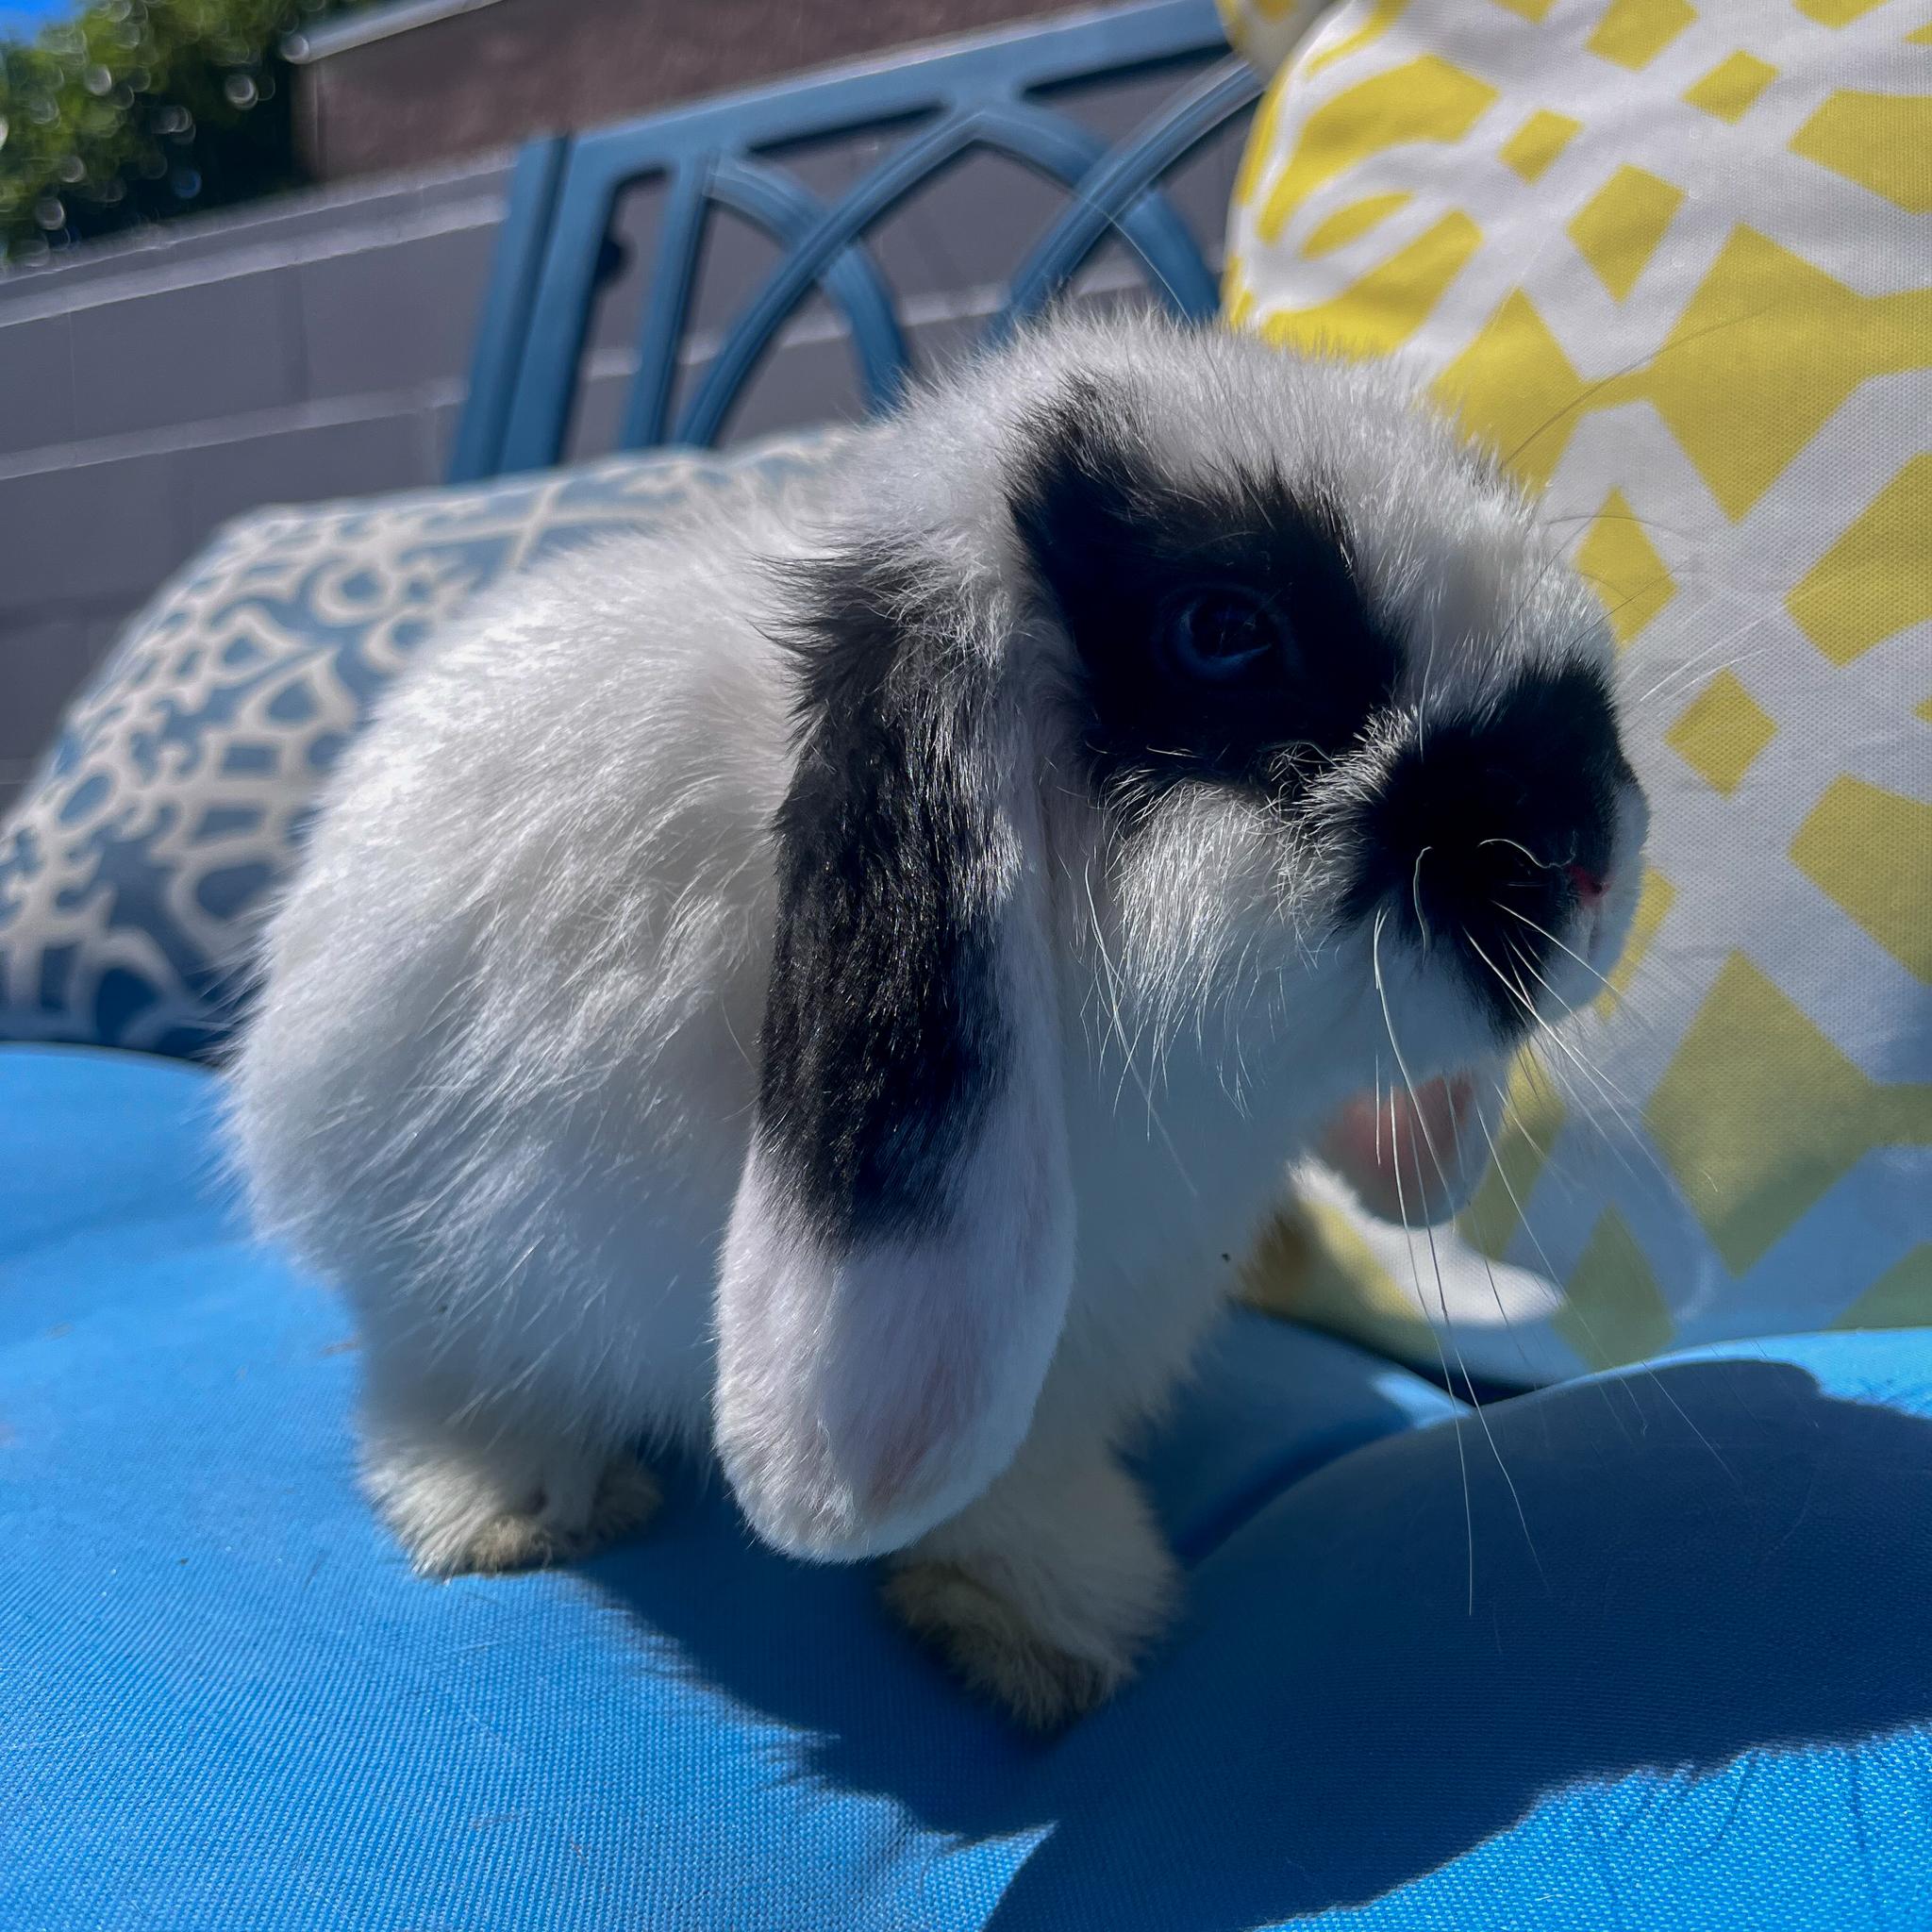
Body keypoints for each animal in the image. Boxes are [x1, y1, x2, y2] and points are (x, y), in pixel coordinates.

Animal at [228, 310, 1648, 1729]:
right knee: (447, 1376)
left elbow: (1013, 1492)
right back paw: (513, 1503)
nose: (1590, 845)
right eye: (1225, 631)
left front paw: (1049, 1627)